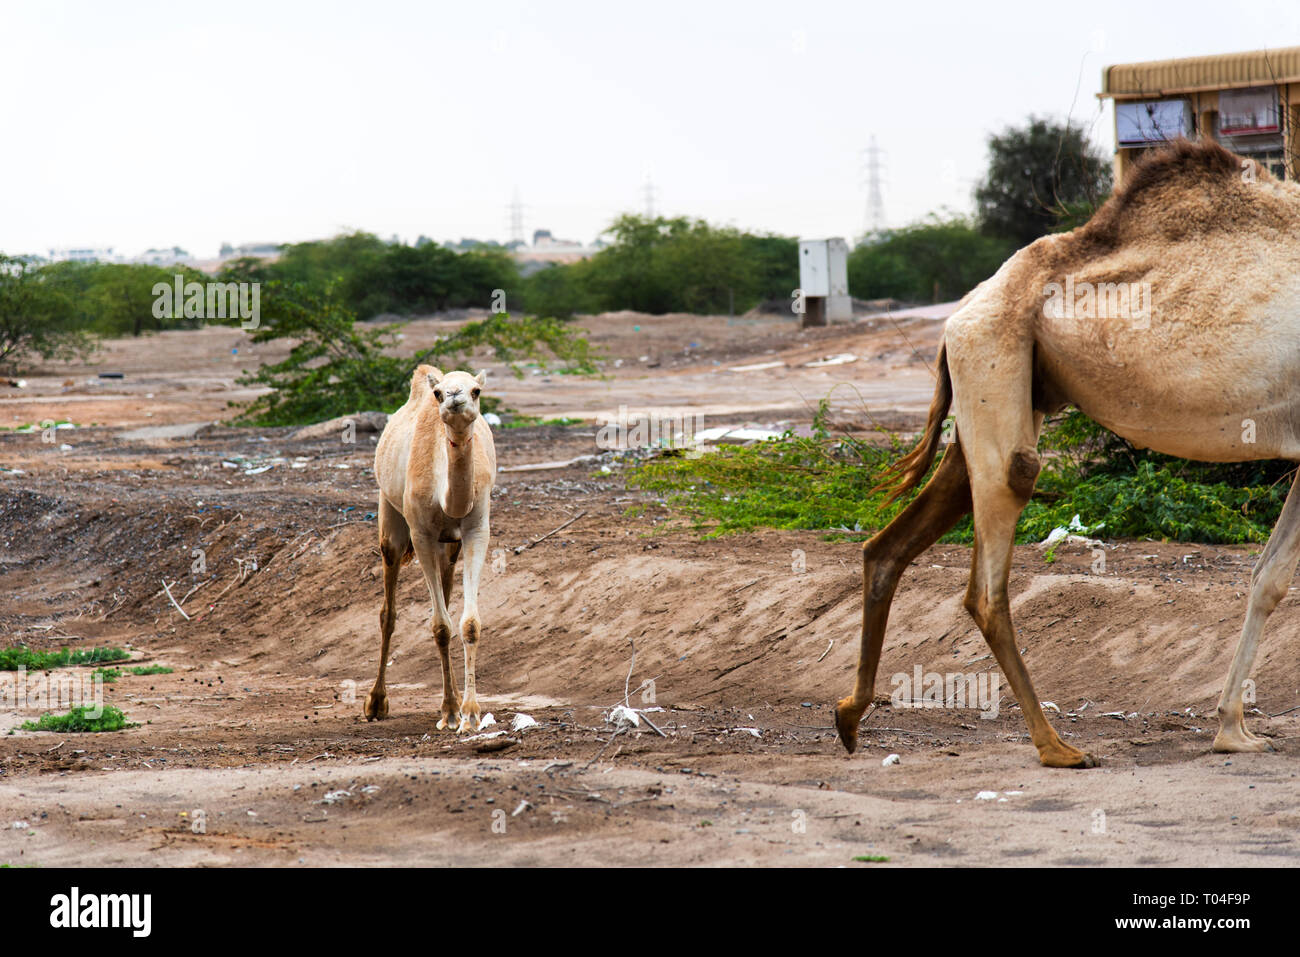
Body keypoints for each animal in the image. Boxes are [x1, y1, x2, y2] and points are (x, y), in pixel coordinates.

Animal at [365, 365, 496, 732]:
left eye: (477, 390)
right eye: (438, 394)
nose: (453, 397)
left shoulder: (477, 529)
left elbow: (468, 624)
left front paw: (470, 713)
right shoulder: (421, 533)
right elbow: (439, 627)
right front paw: (451, 710)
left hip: (448, 546)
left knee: (447, 601)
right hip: (391, 516)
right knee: (388, 612)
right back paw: (376, 702)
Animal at [834, 138, 1300, 767]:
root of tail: (958, 313)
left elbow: (1269, 576)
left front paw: (1233, 730)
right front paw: (1233, 729)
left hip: (1003, 389)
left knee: (890, 544)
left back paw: (849, 716)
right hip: (994, 356)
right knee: (991, 569)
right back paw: (1056, 746)